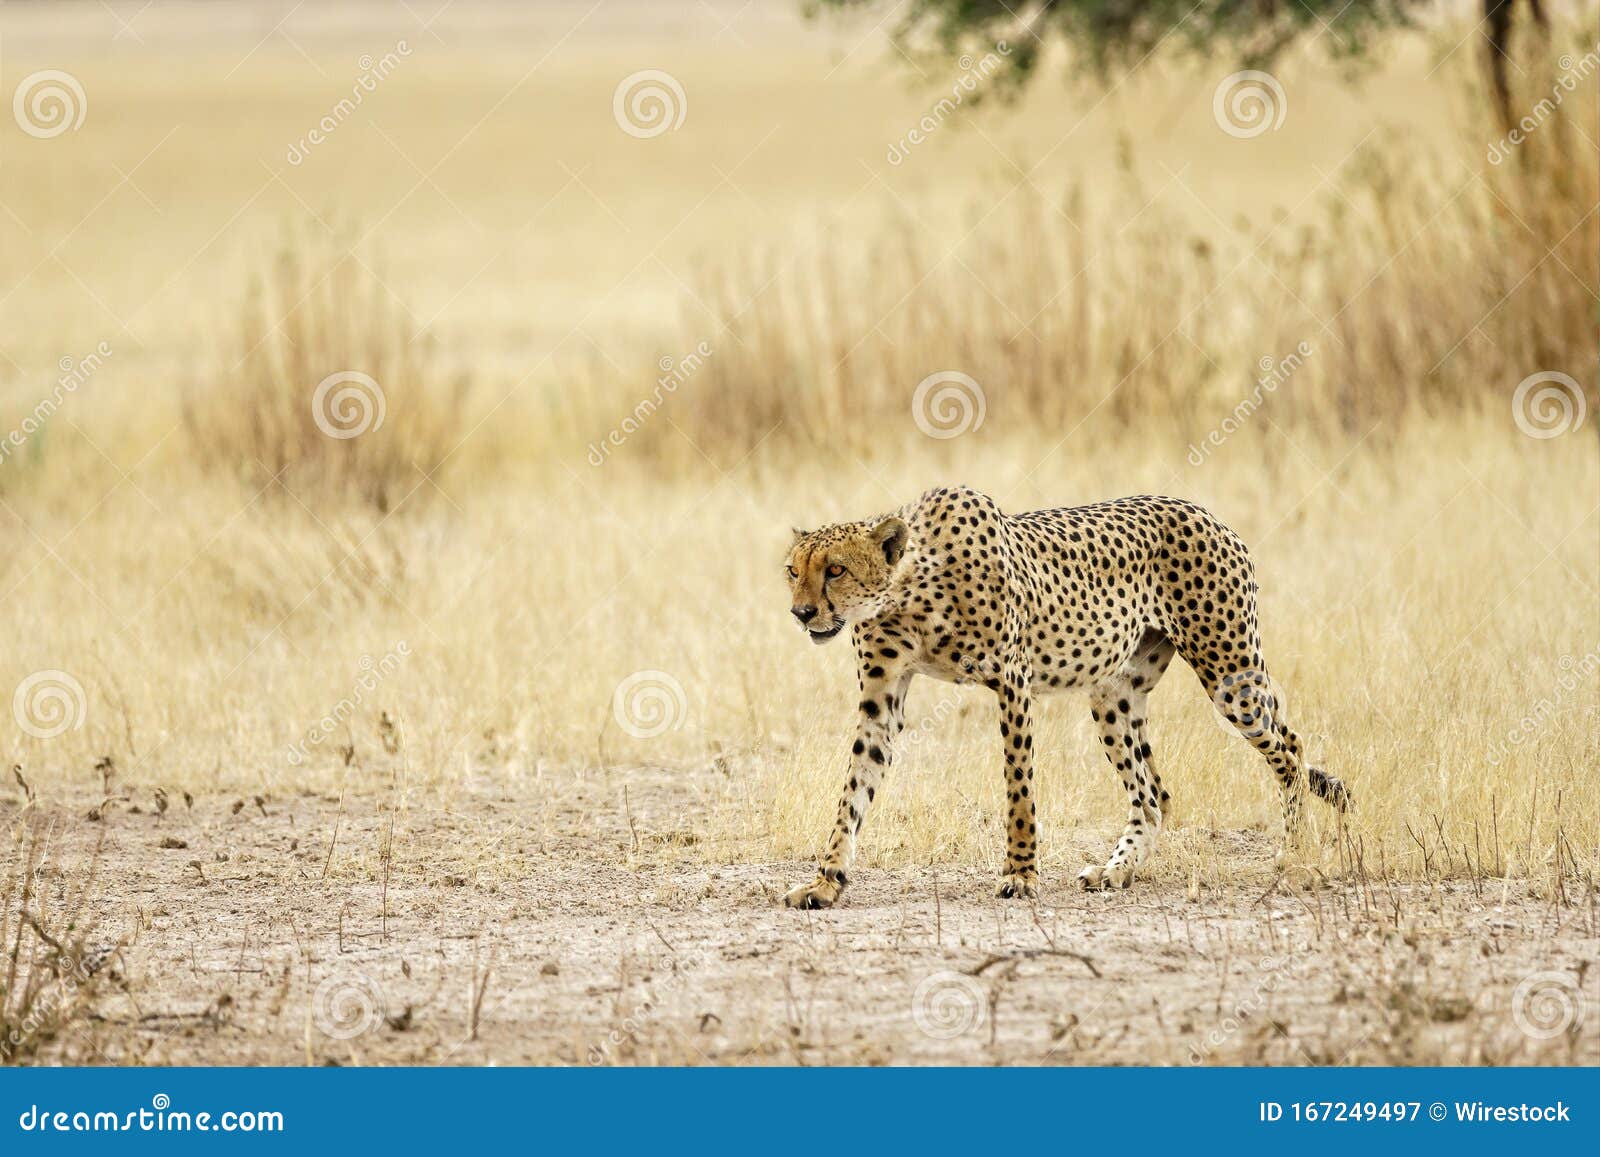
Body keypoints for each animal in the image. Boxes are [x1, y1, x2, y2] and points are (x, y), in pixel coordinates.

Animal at [780, 485, 1349, 909]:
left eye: (836, 570)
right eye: (793, 570)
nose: (801, 613)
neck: (908, 593)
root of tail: (1204, 511)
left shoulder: (1012, 680)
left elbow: (1019, 788)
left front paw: (1021, 874)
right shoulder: (882, 700)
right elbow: (854, 790)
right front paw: (827, 881)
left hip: (1229, 671)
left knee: (1290, 751)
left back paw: (1294, 858)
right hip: (1113, 693)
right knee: (1154, 795)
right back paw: (1115, 871)